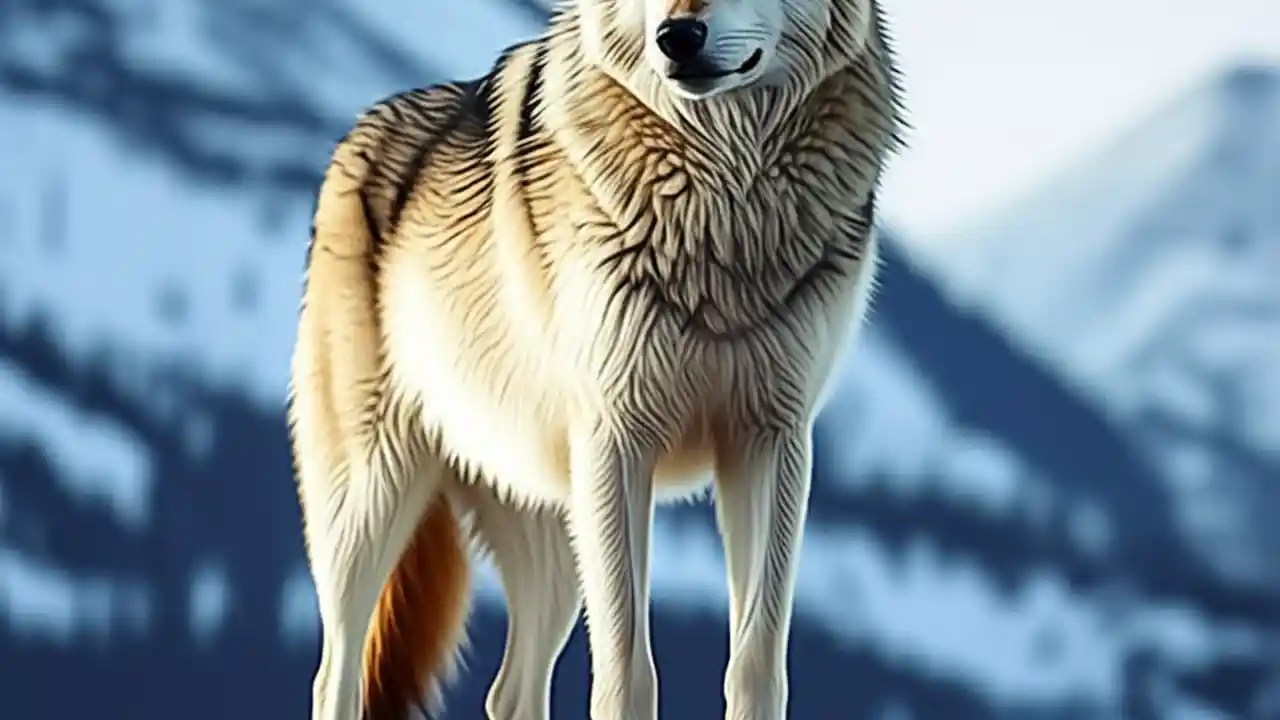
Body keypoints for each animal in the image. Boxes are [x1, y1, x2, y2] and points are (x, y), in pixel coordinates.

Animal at [288, 0, 904, 718]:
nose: (677, 36)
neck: (724, 206)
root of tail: (356, 132)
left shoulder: (772, 440)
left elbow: (756, 660)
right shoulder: (619, 442)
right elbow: (627, 668)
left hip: (556, 536)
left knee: (510, 691)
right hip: (368, 506)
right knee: (336, 673)